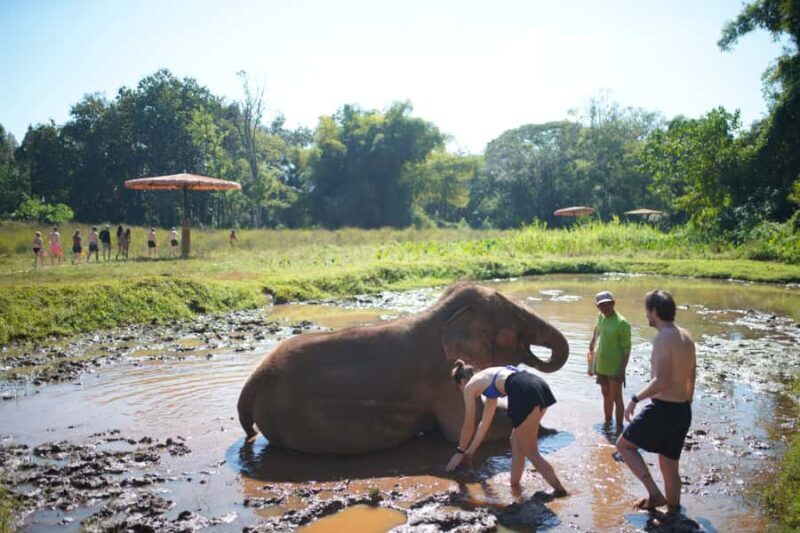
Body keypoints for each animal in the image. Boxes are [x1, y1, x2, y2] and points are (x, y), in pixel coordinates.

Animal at [237, 281, 570, 454]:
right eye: (519, 322)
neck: (442, 313)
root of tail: (250, 384)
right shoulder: (444, 378)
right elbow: (462, 431)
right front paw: (546, 429)